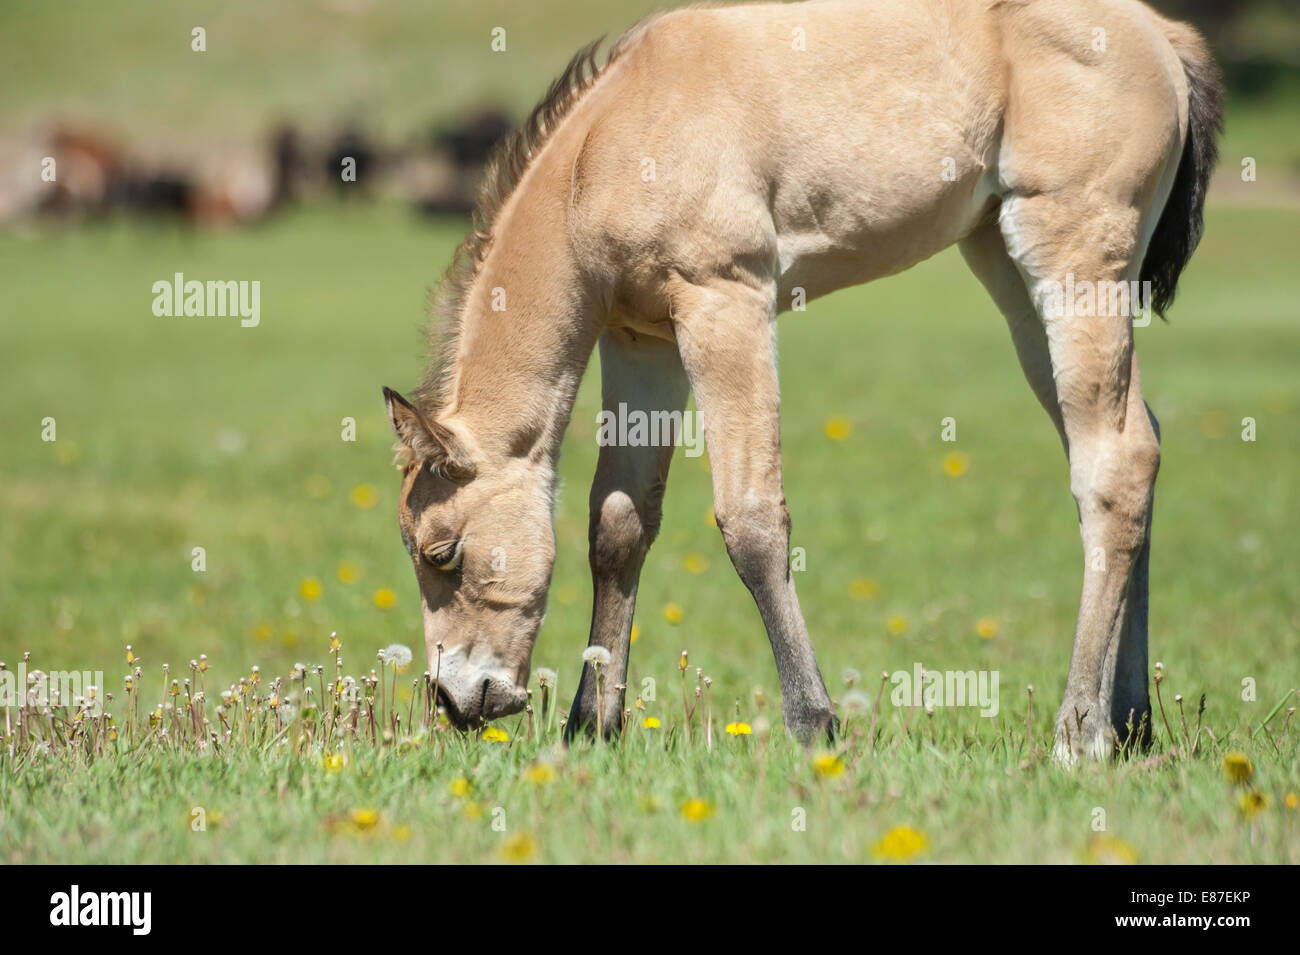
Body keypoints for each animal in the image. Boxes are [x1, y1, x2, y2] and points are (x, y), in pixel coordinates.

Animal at [382, 0, 1222, 761]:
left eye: (441, 551)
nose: (455, 699)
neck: (608, 142)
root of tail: (1157, 31)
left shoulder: (725, 302)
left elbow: (751, 520)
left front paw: (813, 721)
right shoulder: (641, 339)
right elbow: (619, 525)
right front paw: (591, 727)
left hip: (1076, 264)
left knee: (1115, 463)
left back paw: (1081, 731)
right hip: (1012, 274)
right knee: (1134, 444)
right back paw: (1132, 721)